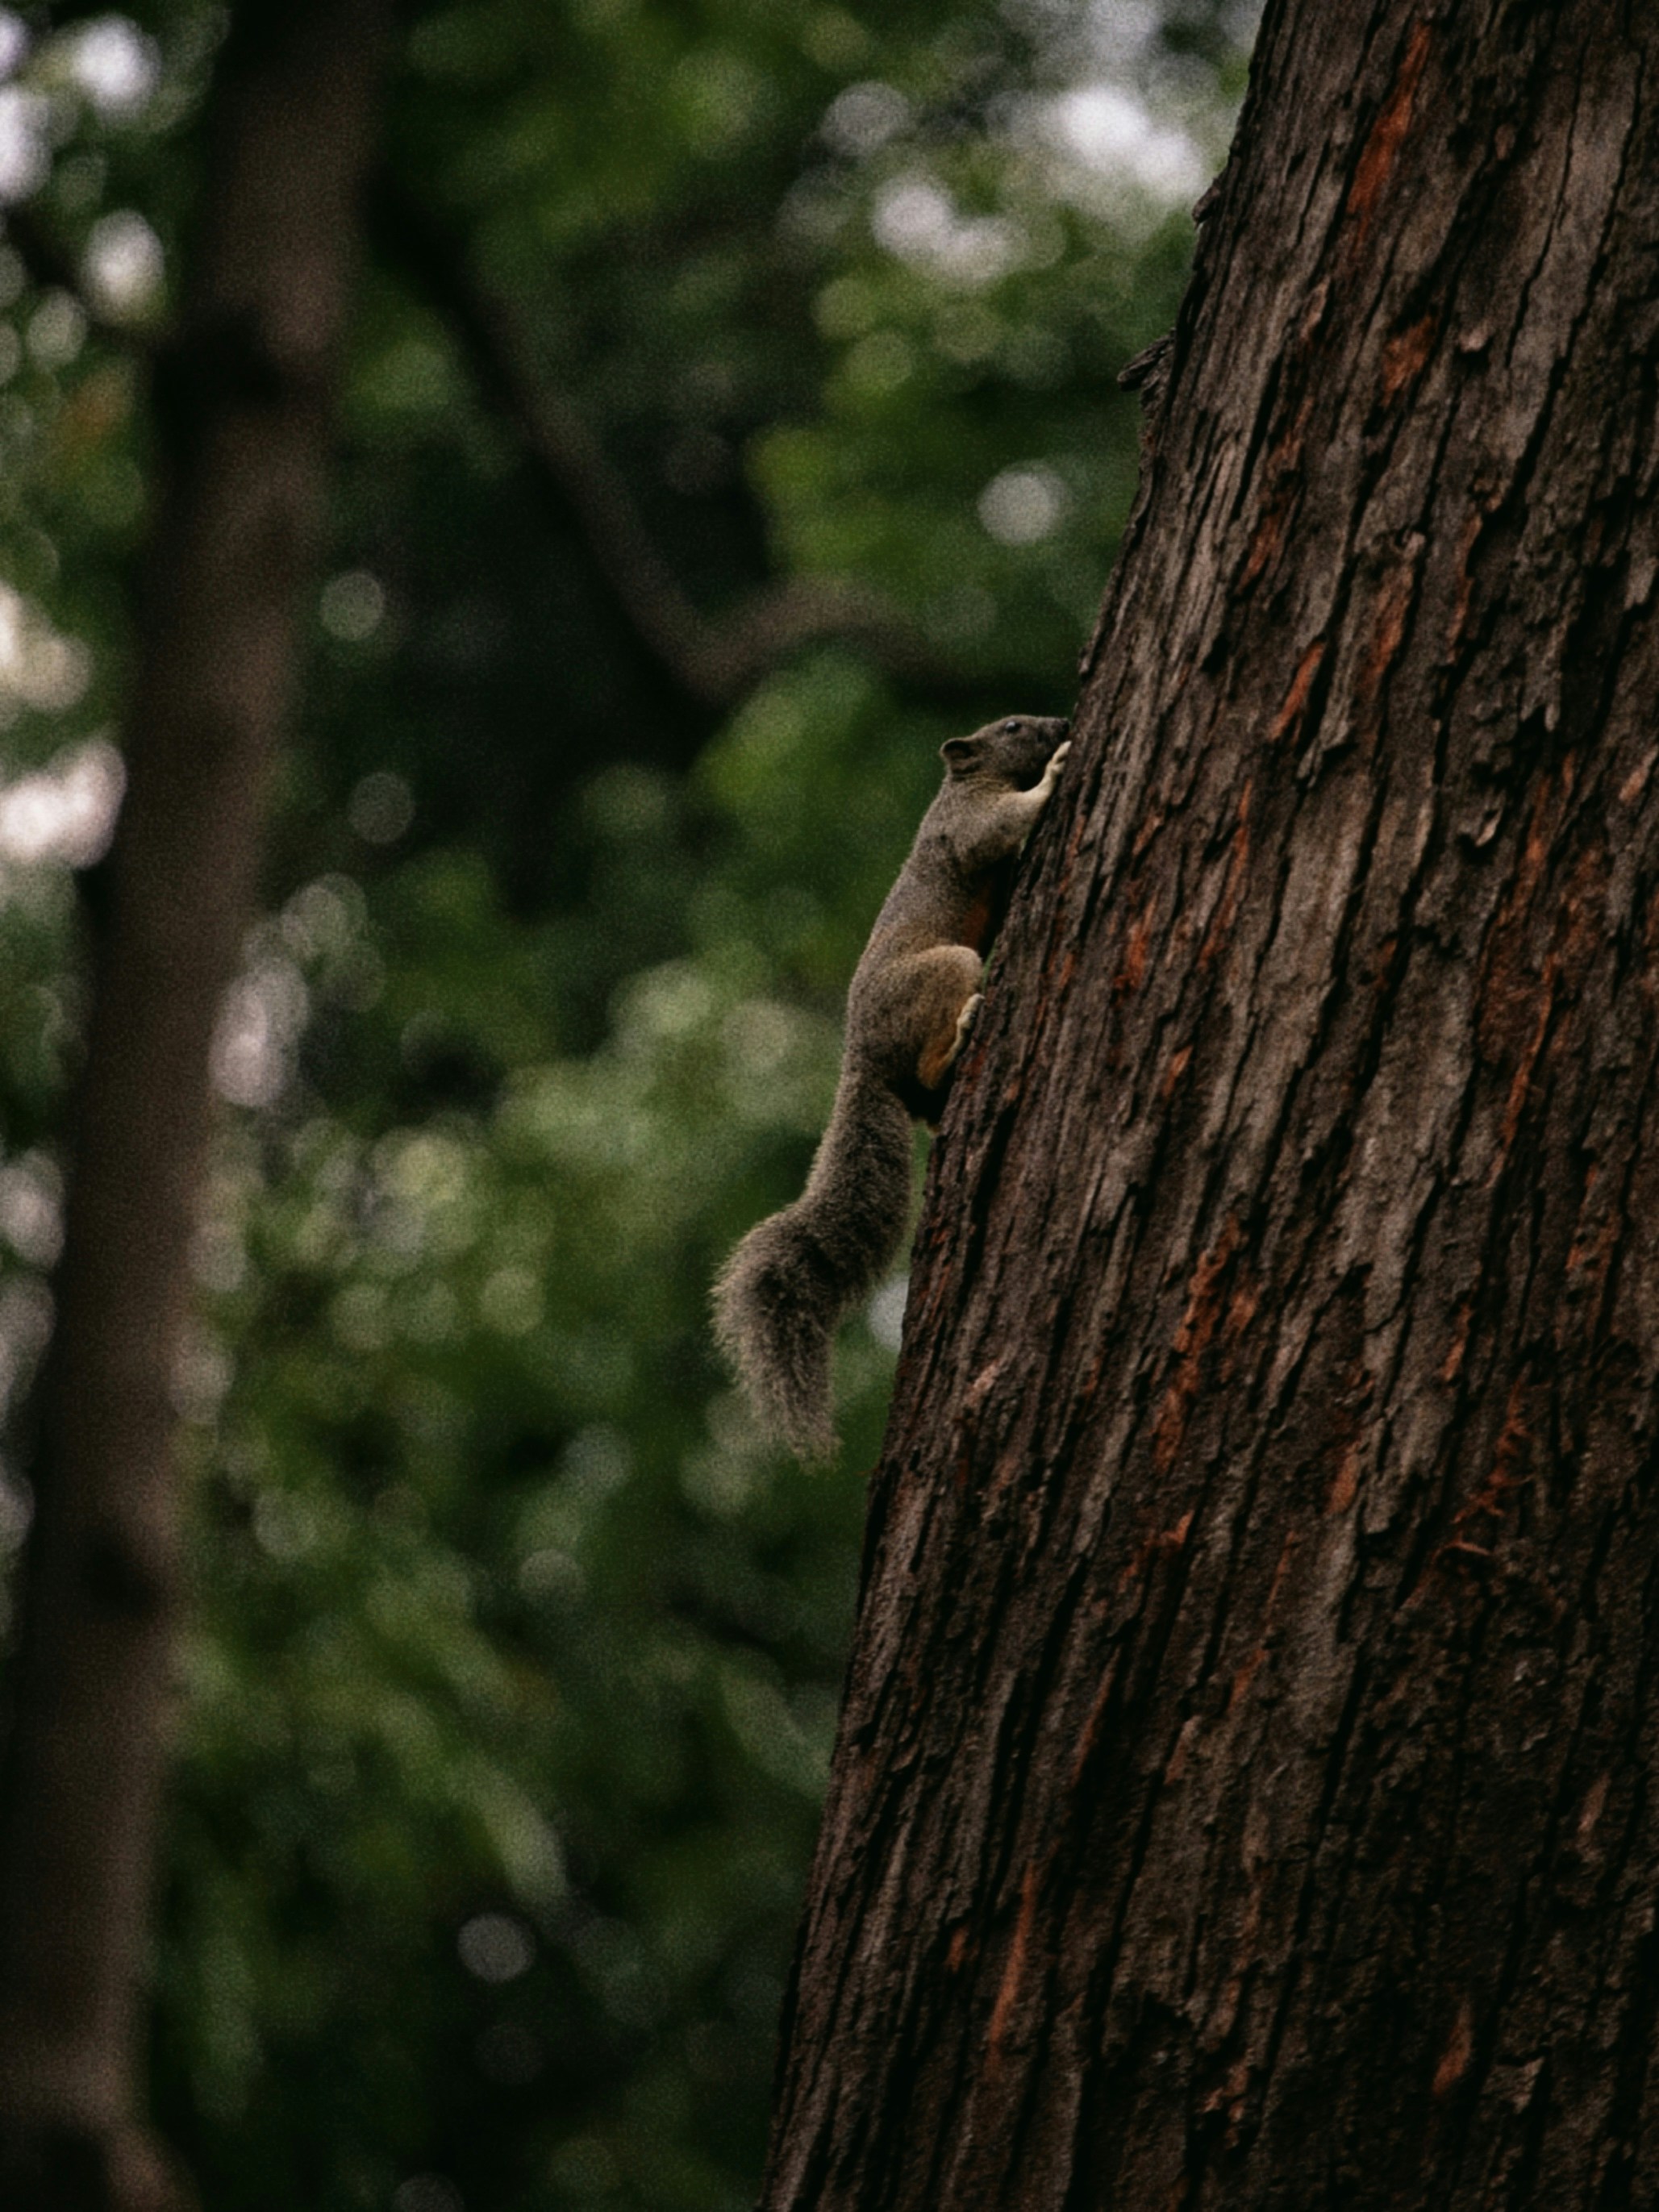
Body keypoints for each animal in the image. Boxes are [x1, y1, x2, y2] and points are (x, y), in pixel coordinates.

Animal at [713, 713, 1072, 1459]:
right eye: (1011, 726)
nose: (1056, 721)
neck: (964, 780)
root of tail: (863, 1060)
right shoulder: (962, 824)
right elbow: (1005, 824)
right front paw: (1057, 767)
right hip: (947, 966)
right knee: (934, 1064)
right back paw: (962, 1030)